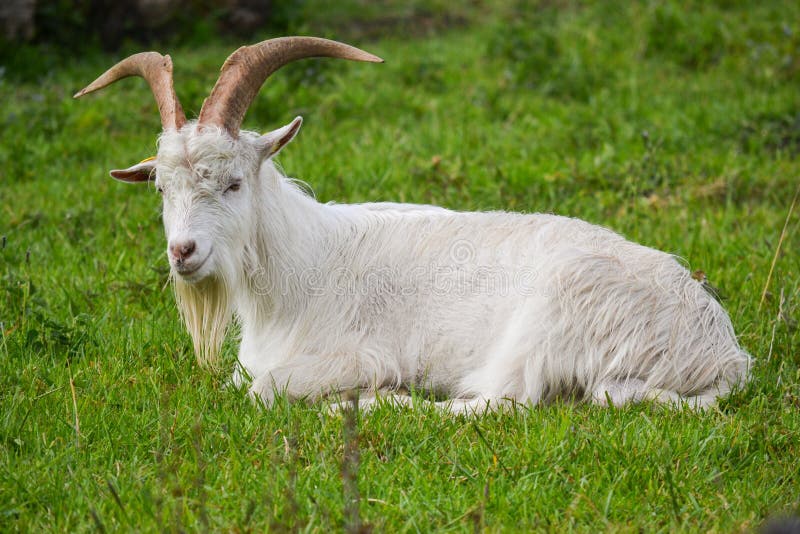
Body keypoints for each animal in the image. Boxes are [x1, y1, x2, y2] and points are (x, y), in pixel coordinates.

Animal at [75, 37, 751, 412]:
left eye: (234, 182)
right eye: (161, 188)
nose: (183, 252)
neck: (305, 264)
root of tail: (720, 356)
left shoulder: (352, 353)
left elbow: (260, 391)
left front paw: (370, 392)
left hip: (551, 323)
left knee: (502, 404)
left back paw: (382, 403)